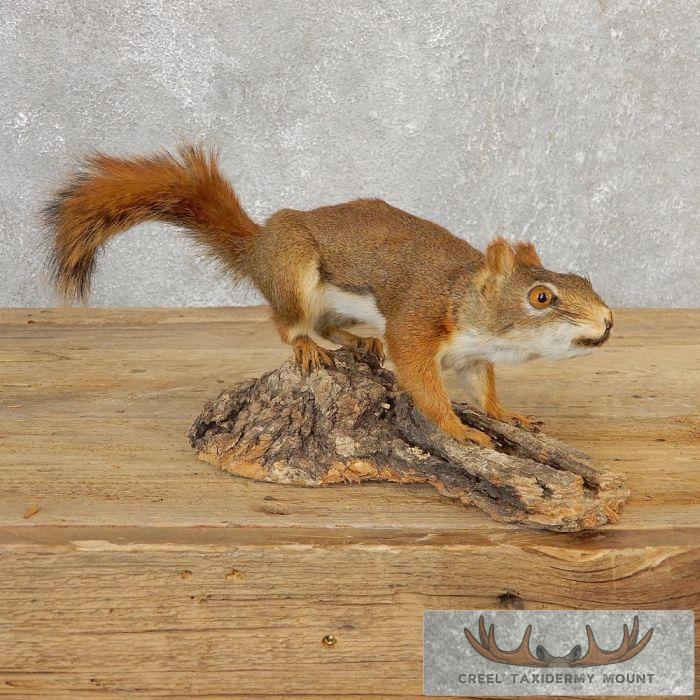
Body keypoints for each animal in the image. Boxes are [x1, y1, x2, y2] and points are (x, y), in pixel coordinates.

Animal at [45, 144, 613, 448]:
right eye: (541, 297)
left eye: (585, 280)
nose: (608, 321)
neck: (465, 299)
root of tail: (260, 247)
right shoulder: (417, 323)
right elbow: (423, 384)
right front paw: (461, 430)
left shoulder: (473, 356)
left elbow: (482, 388)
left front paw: (505, 414)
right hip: (293, 272)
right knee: (293, 325)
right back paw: (308, 347)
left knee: (329, 325)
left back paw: (359, 341)